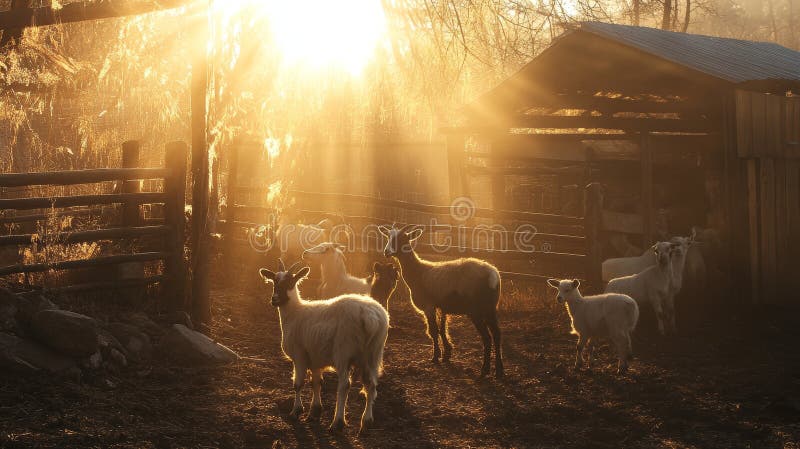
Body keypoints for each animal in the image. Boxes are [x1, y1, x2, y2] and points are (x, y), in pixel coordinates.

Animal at [258, 259, 389, 433]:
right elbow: (316, 383)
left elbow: (298, 384)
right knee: (371, 384)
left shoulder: (299, 354)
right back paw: (366, 422)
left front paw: (296, 412)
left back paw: (337, 422)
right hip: (374, 353)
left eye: (290, 282)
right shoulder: (314, 356)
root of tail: (371, 316)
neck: (294, 313)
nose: (275, 300)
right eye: (274, 281)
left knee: (344, 385)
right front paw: (314, 412)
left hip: (344, 350)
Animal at [379, 225, 503, 378]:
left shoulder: (429, 306)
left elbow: (433, 330)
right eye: (388, 236)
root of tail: (493, 275)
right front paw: (447, 354)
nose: (386, 252)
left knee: (487, 337)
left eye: (403, 238)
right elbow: (442, 329)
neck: (418, 271)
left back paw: (484, 370)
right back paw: (499, 370)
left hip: (476, 311)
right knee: (497, 334)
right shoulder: (441, 307)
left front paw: (435, 357)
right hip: (491, 308)